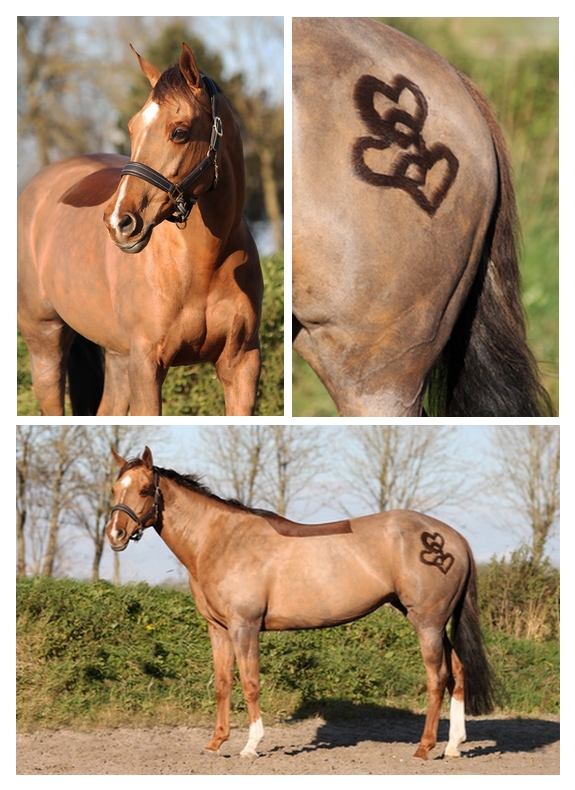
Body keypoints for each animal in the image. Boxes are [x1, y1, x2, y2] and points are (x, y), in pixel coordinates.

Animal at [18, 42, 263, 416]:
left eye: (179, 131)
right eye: (132, 129)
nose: (120, 222)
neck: (203, 265)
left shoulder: (242, 364)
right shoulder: (147, 365)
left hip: (117, 355)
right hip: (45, 340)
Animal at [106, 446, 493, 760]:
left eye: (144, 490)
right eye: (113, 488)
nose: (115, 534)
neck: (221, 540)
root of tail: (451, 539)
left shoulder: (245, 626)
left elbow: (250, 682)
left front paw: (251, 745)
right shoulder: (218, 628)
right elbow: (222, 683)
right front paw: (216, 743)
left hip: (427, 623)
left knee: (437, 678)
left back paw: (425, 747)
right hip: (436, 622)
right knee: (458, 671)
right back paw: (453, 746)